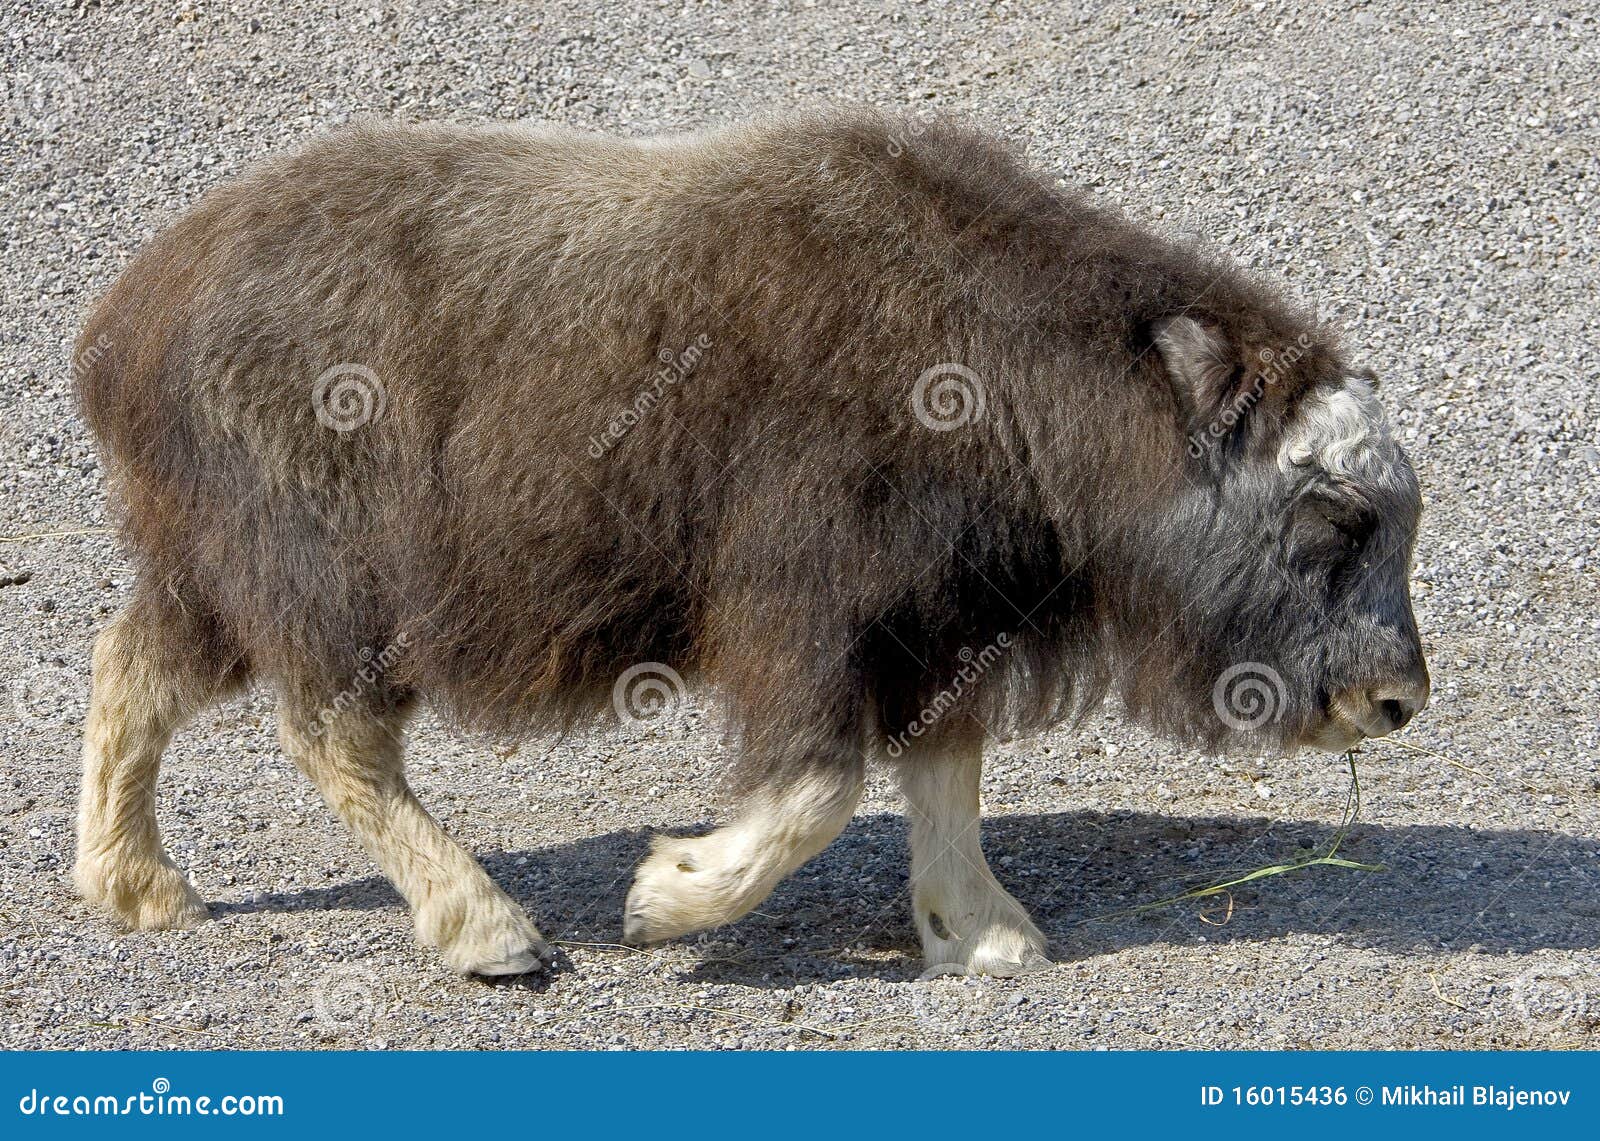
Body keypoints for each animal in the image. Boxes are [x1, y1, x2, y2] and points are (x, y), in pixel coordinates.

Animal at [71, 109, 1429, 978]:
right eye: (1333, 515)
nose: (1396, 700)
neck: (1002, 372)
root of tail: (131, 316)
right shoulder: (806, 607)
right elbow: (817, 788)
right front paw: (663, 898)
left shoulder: (943, 623)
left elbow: (948, 771)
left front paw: (985, 933)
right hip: (334, 581)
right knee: (333, 730)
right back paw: (493, 932)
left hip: (213, 574)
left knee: (133, 668)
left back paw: (138, 888)